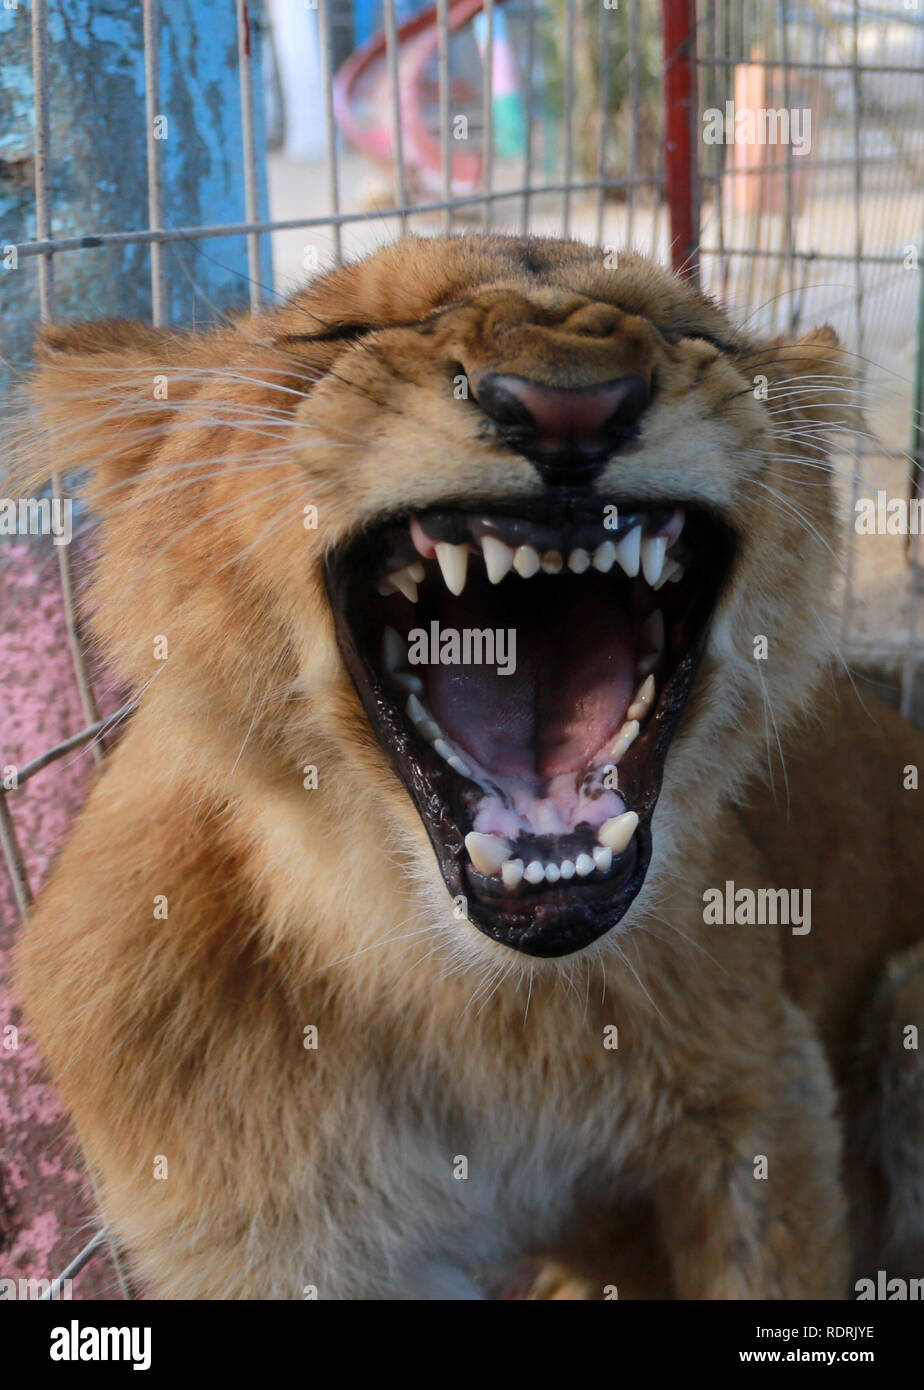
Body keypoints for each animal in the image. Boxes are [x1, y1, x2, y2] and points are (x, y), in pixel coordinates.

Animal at [12, 234, 924, 1299]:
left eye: (688, 329)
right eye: (343, 331)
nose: (571, 403)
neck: (465, 997)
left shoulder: (769, 1098)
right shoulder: (268, 1242)